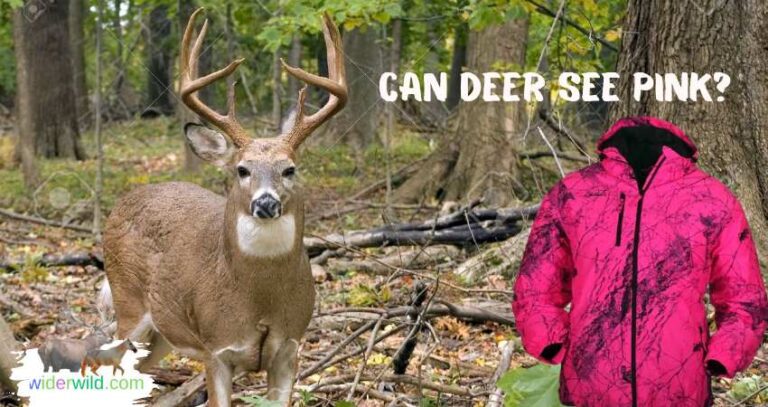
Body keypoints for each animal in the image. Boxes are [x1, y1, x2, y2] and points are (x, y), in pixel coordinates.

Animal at [101, 8, 346, 407]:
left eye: (289, 169)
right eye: (242, 169)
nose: (266, 202)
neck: (259, 299)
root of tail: (123, 201)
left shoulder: (290, 348)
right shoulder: (215, 348)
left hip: (162, 333)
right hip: (128, 303)